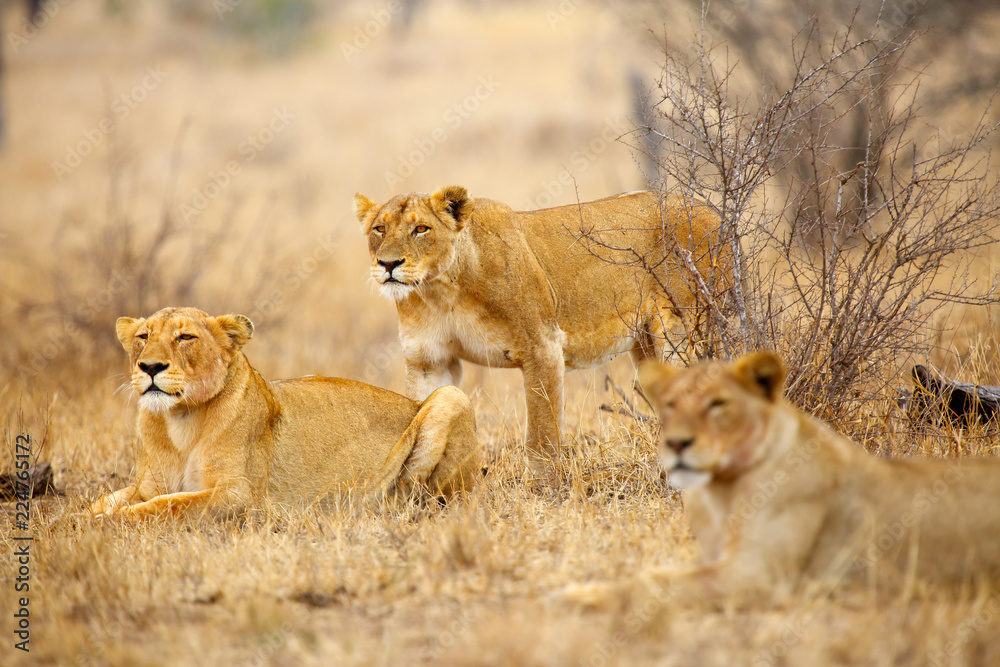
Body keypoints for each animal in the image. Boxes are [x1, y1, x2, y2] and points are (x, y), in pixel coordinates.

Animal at [89, 307, 480, 519]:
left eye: (185, 337)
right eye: (143, 336)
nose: (149, 367)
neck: (179, 420)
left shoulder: (240, 497)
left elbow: (165, 507)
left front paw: (109, 523)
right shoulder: (148, 486)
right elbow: (103, 502)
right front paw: (83, 521)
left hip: (450, 397)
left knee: (426, 497)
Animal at [353, 186, 730, 476]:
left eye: (421, 229)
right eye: (379, 229)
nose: (388, 264)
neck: (440, 289)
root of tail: (710, 210)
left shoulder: (542, 347)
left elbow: (541, 436)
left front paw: (546, 489)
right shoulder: (428, 361)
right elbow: (423, 419)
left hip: (686, 331)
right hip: (648, 345)